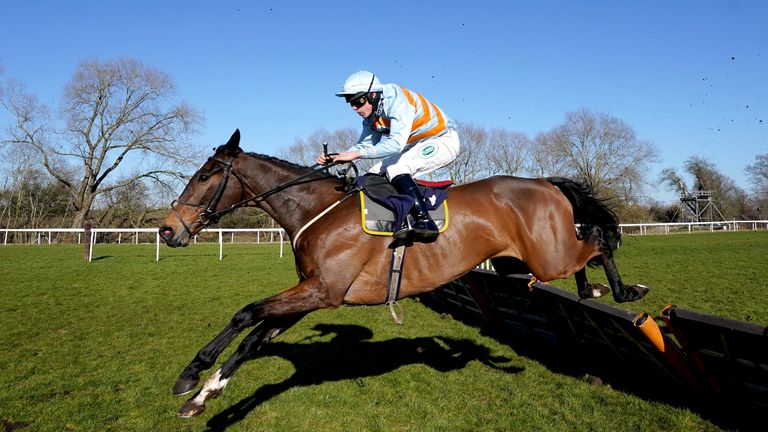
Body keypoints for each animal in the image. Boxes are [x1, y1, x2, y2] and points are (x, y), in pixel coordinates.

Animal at [159, 129, 648, 417]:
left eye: (204, 176)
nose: (167, 230)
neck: (316, 208)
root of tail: (545, 182)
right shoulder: (309, 292)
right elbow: (253, 336)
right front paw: (204, 392)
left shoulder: (323, 291)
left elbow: (246, 313)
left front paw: (192, 373)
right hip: (521, 263)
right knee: (586, 250)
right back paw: (593, 290)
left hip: (549, 256)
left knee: (598, 239)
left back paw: (624, 290)